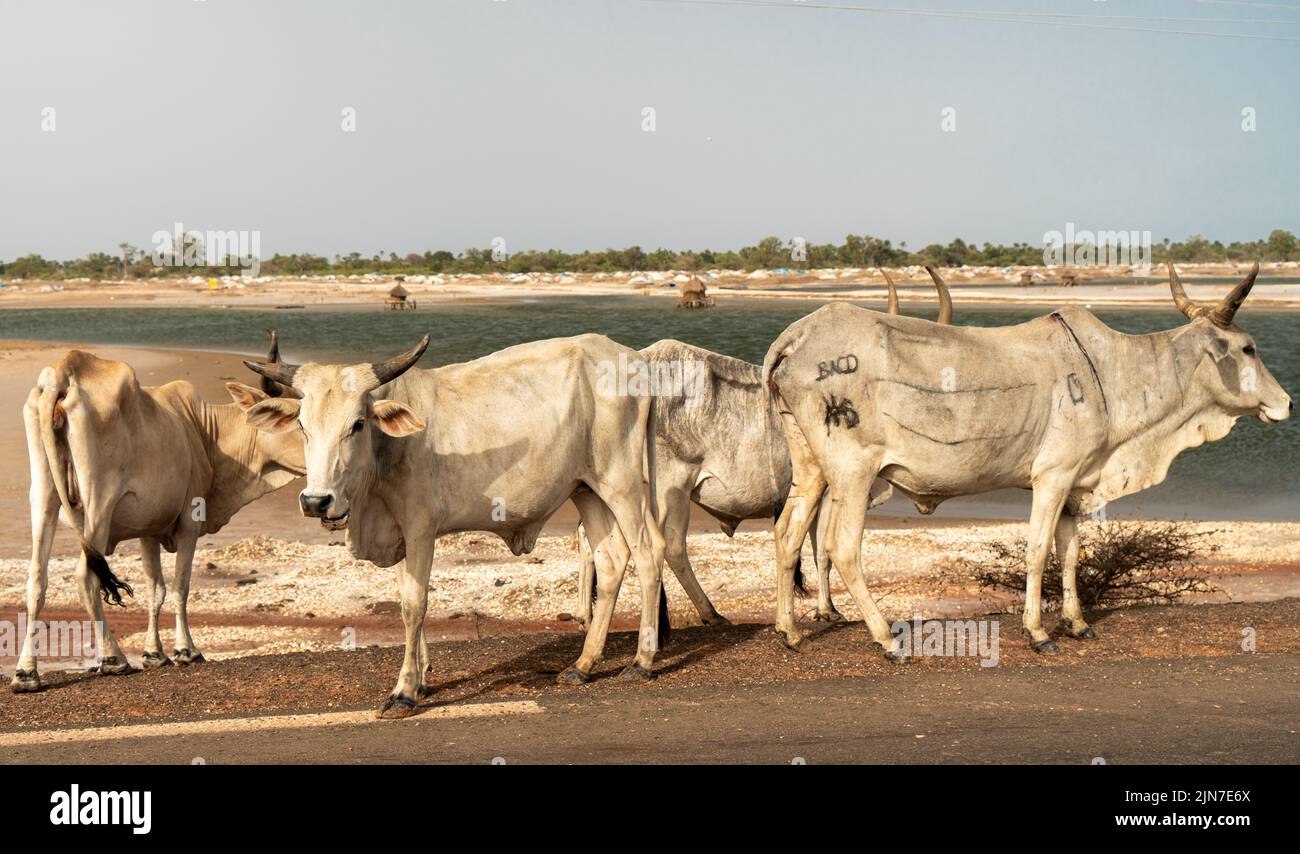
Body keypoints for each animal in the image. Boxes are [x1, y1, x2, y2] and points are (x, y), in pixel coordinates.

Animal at [12, 333, 304, 692]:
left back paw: (26, 673)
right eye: (299, 421)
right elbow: (180, 587)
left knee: (37, 578)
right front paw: (186, 650)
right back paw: (113, 658)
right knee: (87, 575)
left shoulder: (148, 531)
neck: (201, 429)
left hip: (43, 496)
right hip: (99, 501)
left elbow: (156, 590)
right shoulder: (190, 523)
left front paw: (154, 653)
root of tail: (62, 372)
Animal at [241, 334, 668, 718]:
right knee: (611, 560)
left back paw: (642, 661)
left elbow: (414, 605)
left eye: (358, 424)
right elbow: (405, 598)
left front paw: (404, 691)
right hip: (586, 488)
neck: (384, 456)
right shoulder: (399, 535)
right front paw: (421, 679)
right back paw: (583, 665)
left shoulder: (420, 530)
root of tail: (632, 359)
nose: (316, 501)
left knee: (649, 552)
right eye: (301, 424)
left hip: (621, 483)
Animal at [576, 269, 953, 626]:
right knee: (671, 544)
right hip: (674, 482)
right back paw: (710, 613)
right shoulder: (830, 490)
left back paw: (585, 614)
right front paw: (826, 609)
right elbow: (823, 550)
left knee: (589, 539)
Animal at [763, 263, 1290, 655]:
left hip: (812, 470)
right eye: (1248, 348)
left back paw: (790, 631)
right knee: (841, 546)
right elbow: (1037, 550)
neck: (1113, 372)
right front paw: (1038, 632)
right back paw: (885, 637)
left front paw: (1076, 623)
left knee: (788, 533)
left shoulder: (1077, 485)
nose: (1286, 403)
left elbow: (1069, 553)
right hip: (854, 473)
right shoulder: (1052, 477)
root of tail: (796, 335)